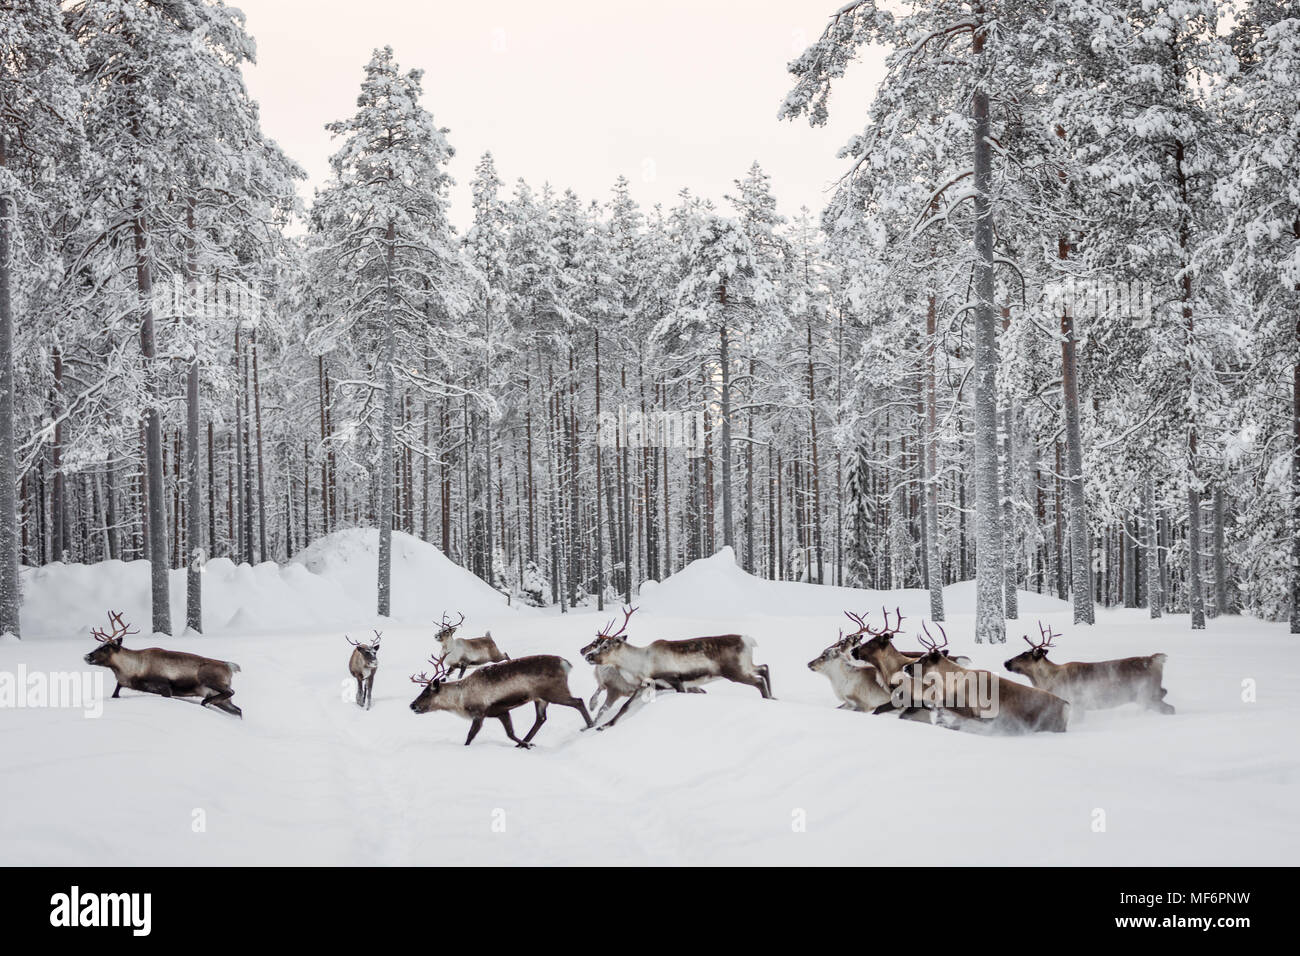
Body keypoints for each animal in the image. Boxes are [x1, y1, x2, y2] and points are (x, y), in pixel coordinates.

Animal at [82, 611, 243, 718]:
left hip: (211, 680)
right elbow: (115, 693)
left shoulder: (165, 686)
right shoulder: (123, 683)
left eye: (106, 648)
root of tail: (230, 666)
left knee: (231, 691)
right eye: (99, 645)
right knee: (238, 710)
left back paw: (205, 702)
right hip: (220, 698)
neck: (133, 670)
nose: (86, 656)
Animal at [409, 652, 592, 748]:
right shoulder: (501, 712)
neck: (460, 698)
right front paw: (525, 744)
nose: (412, 705)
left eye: (426, 693)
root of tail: (565, 663)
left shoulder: (481, 713)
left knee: (579, 701)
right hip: (539, 698)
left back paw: (590, 725)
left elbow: (471, 736)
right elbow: (510, 734)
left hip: (554, 693)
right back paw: (524, 743)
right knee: (540, 719)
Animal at [582, 606, 772, 729]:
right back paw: (773, 697)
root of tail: (747, 640)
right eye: (599, 644)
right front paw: (604, 726)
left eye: (605, 646)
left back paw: (769, 698)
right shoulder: (647, 685)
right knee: (764, 667)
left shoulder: (675, 680)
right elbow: (625, 707)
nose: (588, 656)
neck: (641, 664)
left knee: (759, 681)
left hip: (735, 671)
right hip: (746, 666)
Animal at [896, 622, 1070, 734]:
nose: (905, 668)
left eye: (923, 659)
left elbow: (940, 709)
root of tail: (1066, 704)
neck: (949, 683)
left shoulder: (968, 709)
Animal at [1003, 623, 1175, 715]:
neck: (1047, 681)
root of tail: (1155, 660)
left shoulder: (1076, 703)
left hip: (1145, 694)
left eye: (1025, 655)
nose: (1006, 662)